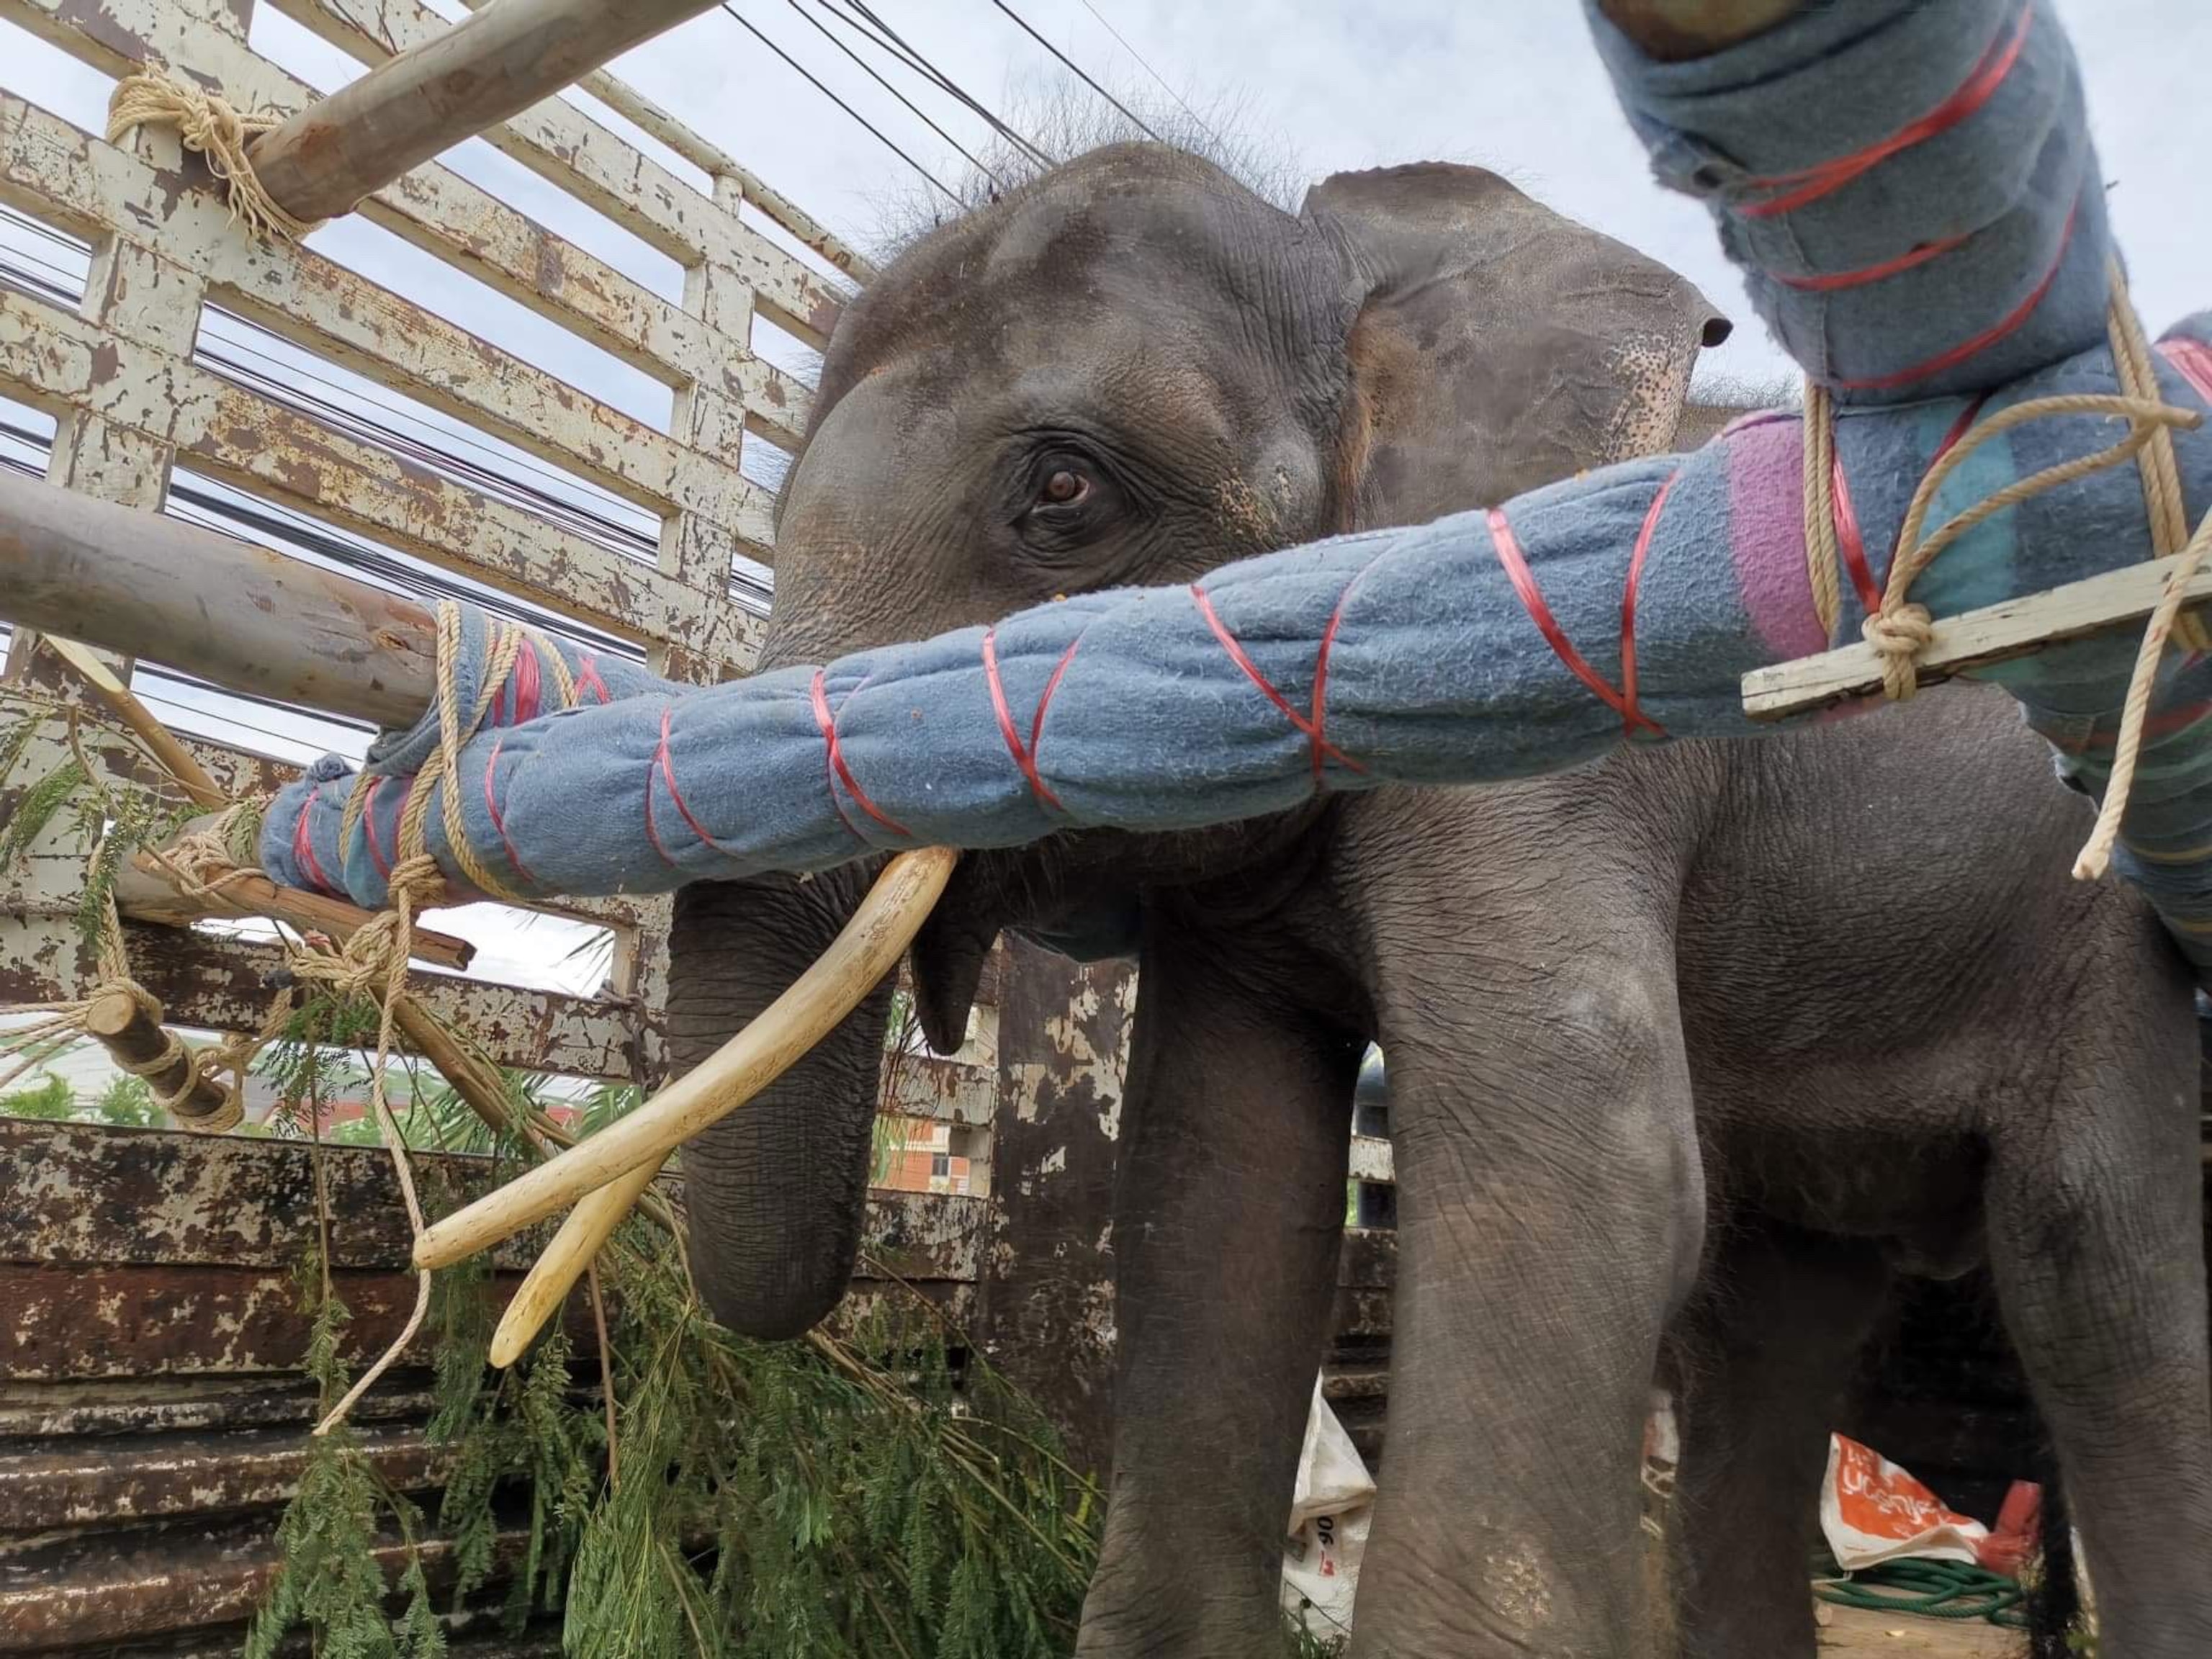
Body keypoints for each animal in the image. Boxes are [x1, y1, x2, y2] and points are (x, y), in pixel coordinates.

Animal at [664, 143, 2212, 1656]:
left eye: (1061, 493)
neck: (1367, 293)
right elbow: (1216, 1197)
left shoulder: (1551, 722)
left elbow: (1578, 1159)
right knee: (1767, 1335)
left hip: (2096, 920)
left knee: (2092, 1276)